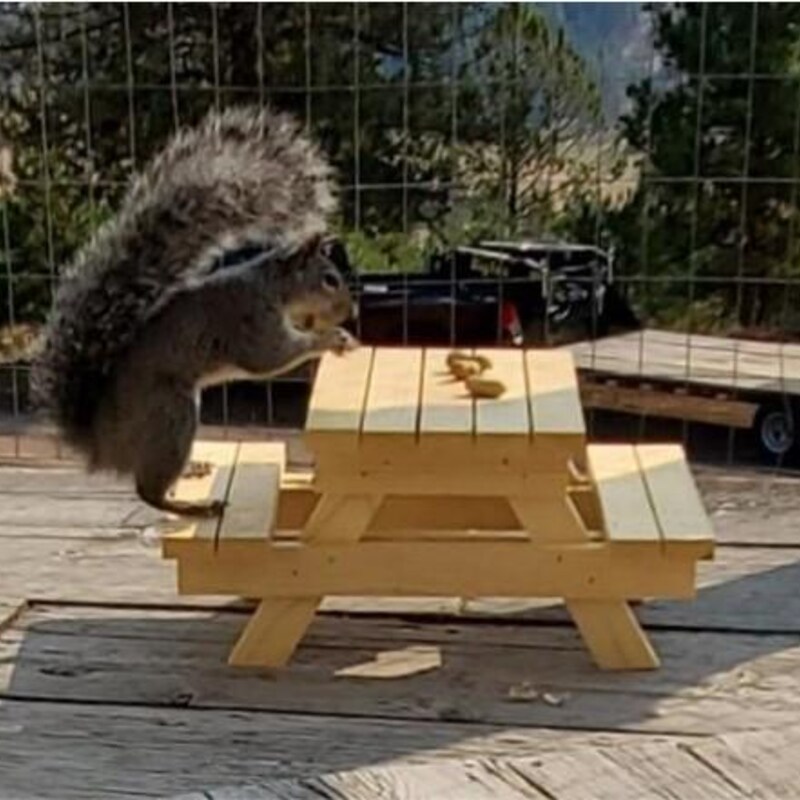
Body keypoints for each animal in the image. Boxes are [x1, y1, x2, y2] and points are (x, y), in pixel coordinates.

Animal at [31, 105, 357, 517]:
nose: (351, 311)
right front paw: (329, 338)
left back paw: (192, 470)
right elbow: (271, 357)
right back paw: (193, 505)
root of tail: (100, 444)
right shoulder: (250, 320)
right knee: (147, 490)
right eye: (330, 280)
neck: (273, 288)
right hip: (171, 414)